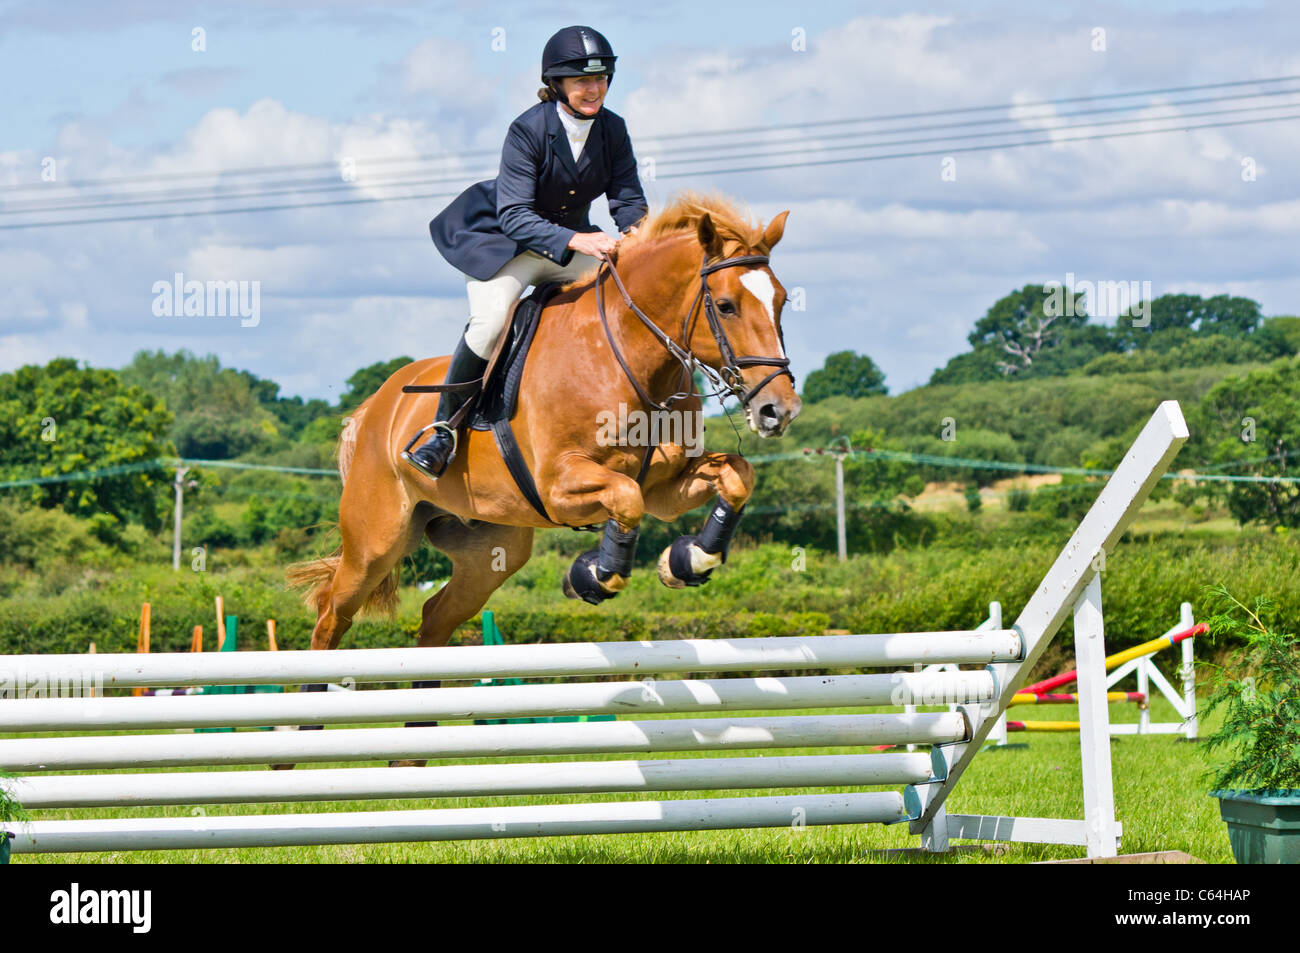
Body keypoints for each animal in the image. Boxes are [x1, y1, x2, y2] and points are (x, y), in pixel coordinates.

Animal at [287, 192, 801, 653]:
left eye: (781, 301)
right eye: (726, 305)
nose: (779, 409)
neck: (626, 358)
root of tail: (372, 408)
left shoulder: (666, 488)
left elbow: (737, 476)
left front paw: (688, 559)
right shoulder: (560, 485)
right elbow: (626, 497)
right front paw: (591, 576)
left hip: (491, 550)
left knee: (435, 619)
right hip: (376, 541)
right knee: (332, 614)